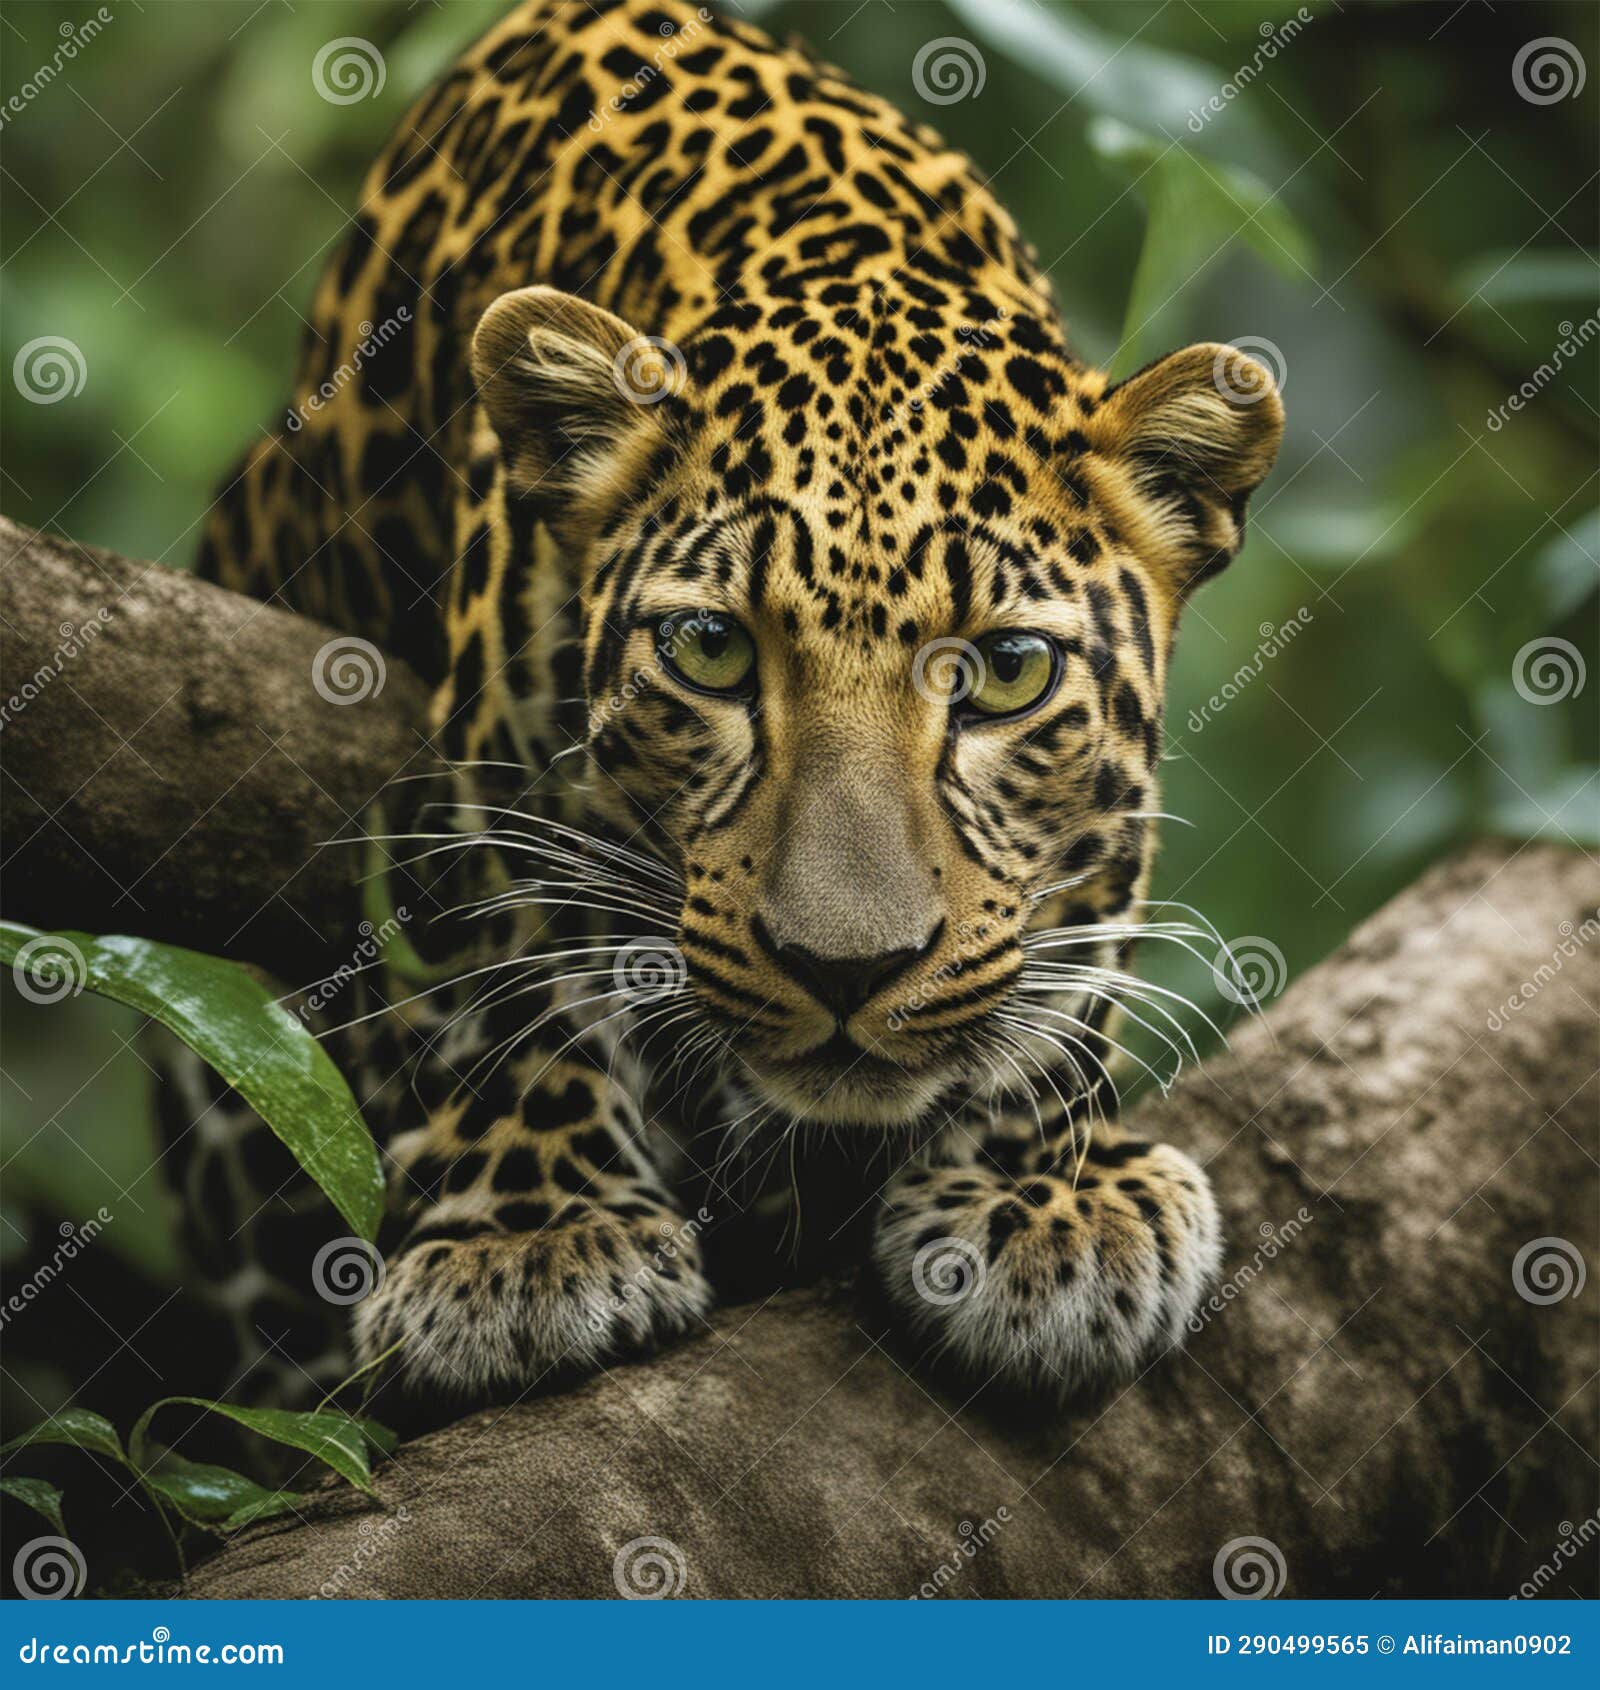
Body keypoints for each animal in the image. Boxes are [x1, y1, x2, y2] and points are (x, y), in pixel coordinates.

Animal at [172, 0, 1284, 1415]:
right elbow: (511, 973)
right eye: (709, 651)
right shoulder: (484, 763)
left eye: (1005, 672)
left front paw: (1043, 1191)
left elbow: (1065, 952)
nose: (847, 970)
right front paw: (530, 1237)